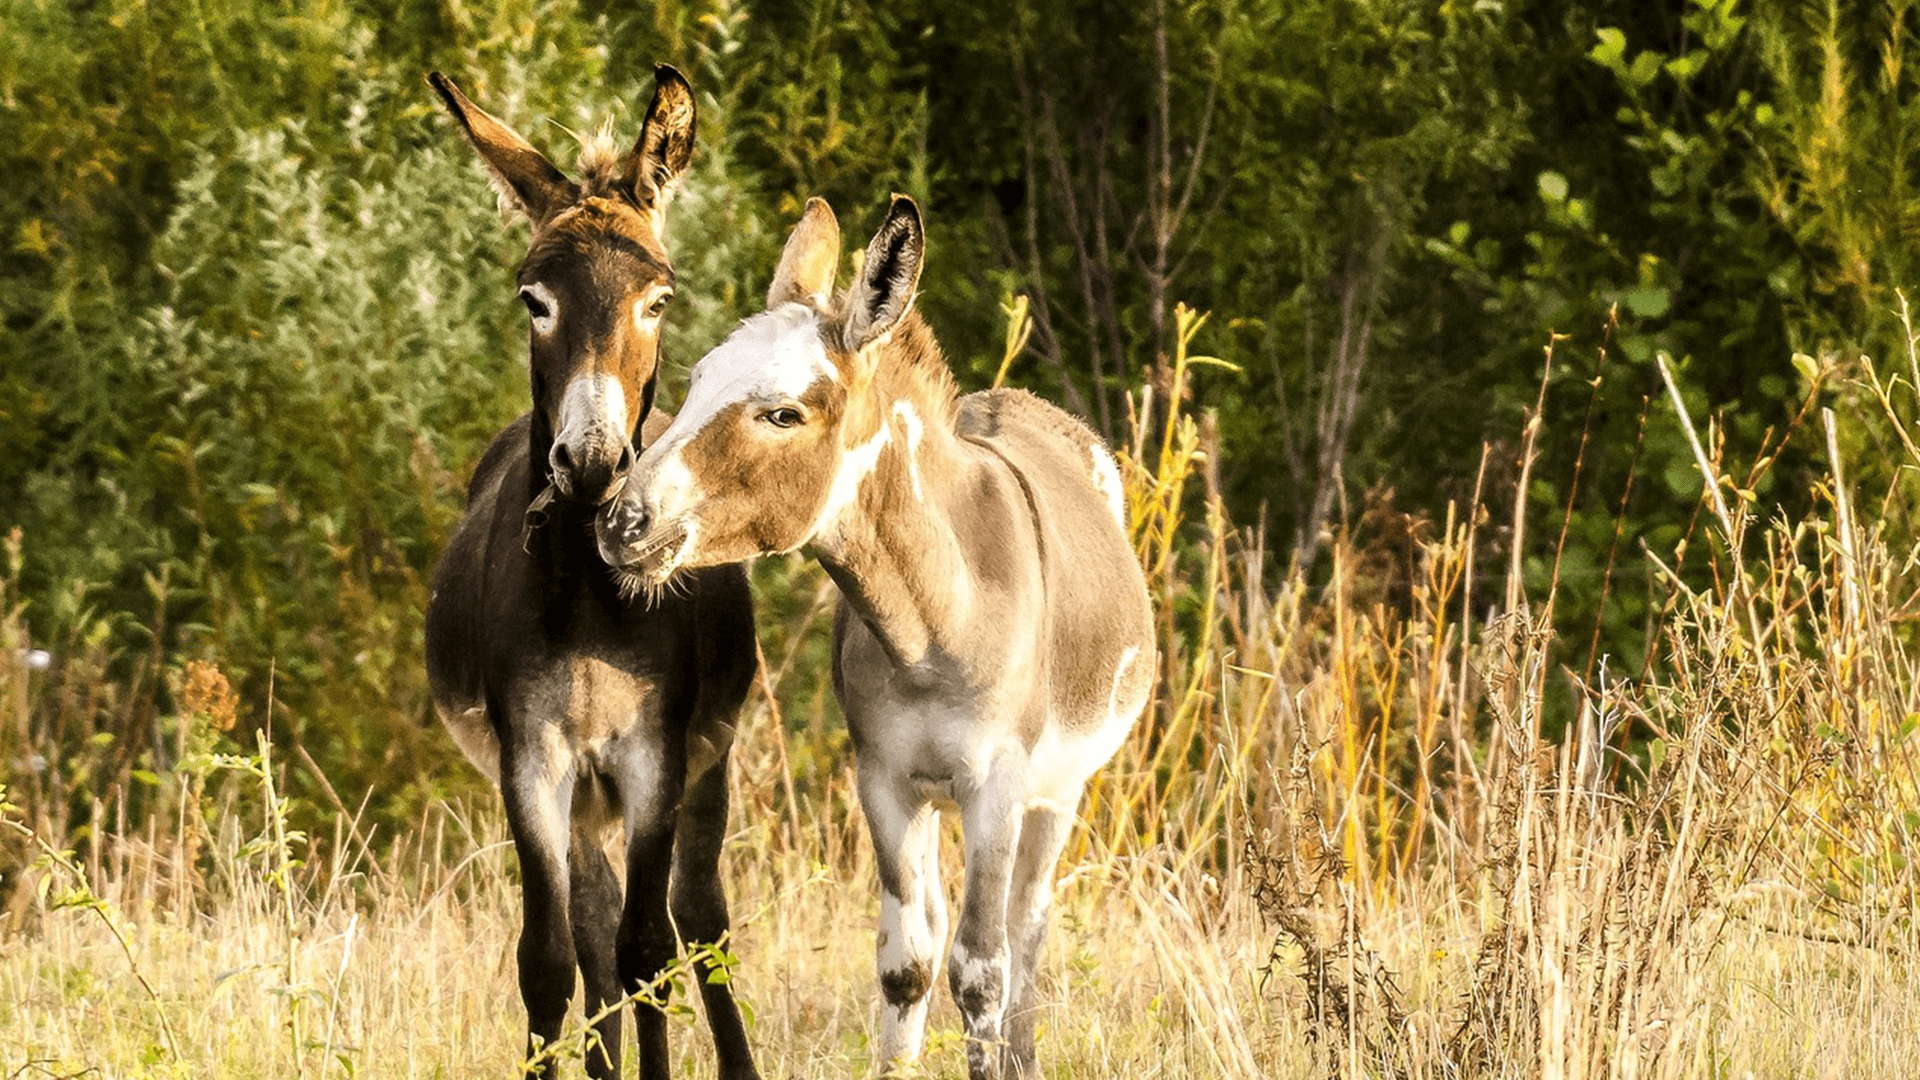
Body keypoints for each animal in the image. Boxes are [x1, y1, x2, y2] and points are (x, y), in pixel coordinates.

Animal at [422, 66, 761, 1080]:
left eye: (659, 299)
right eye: (533, 299)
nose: (591, 462)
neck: (584, 595)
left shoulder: (656, 755)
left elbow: (651, 950)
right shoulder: (532, 760)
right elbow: (550, 961)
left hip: (706, 765)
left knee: (696, 923)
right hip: (581, 797)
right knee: (593, 929)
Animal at [593, 195, 1155, 1080]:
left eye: (783, 413)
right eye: (696, 382)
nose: (620, 523)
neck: (931, 624)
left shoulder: (997, 787)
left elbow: (981, 971)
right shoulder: (885, 781)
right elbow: (908, 967)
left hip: (1057, 791)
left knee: (1025, 933)